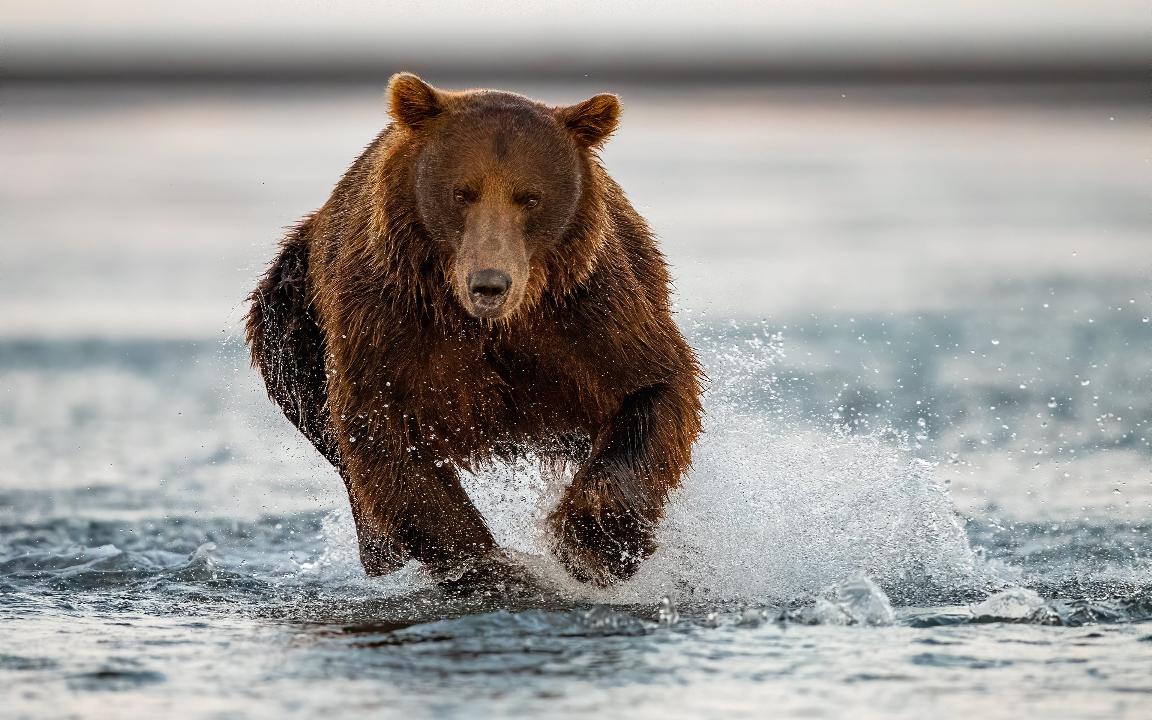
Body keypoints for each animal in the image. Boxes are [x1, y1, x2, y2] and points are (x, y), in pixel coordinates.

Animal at [245, 74, 700, 585]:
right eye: (462, 193)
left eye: (530, 197)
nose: (489, 284)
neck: (488, 324)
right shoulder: (387, 322)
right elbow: (387, 441)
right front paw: (489, 566)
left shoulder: (586, 314)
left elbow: (652, 389)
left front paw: (595, 542)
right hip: (293, 309)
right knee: (313, 407)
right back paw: (381, 549)